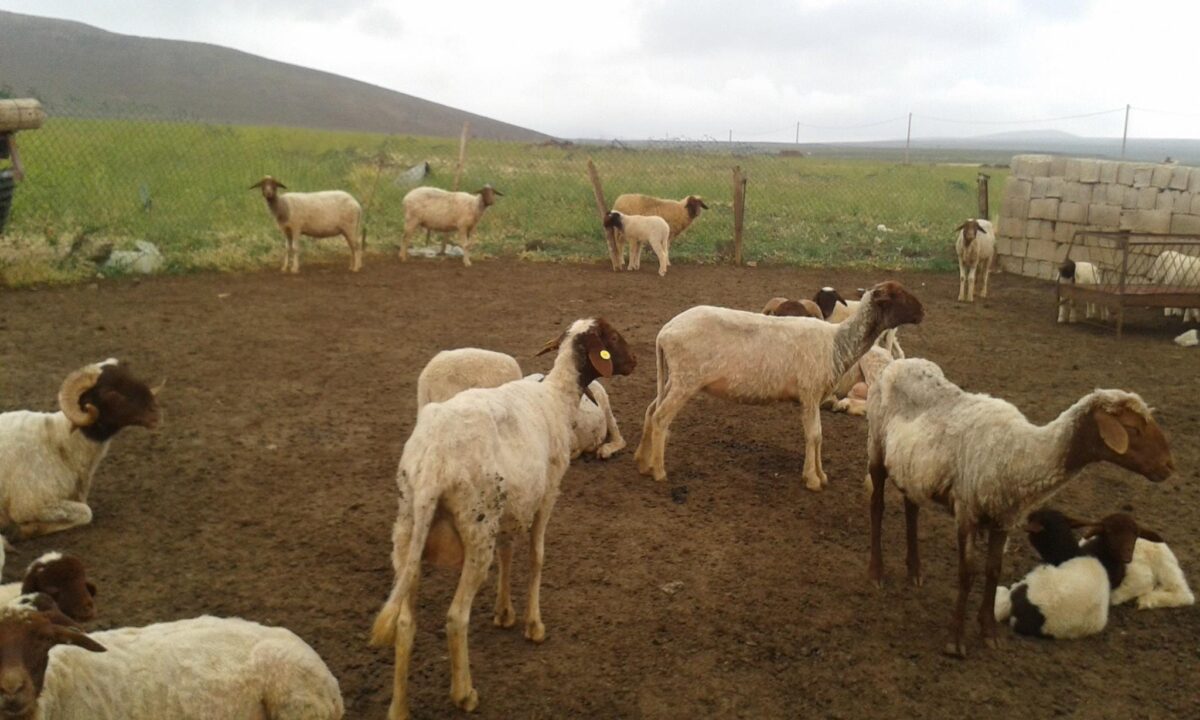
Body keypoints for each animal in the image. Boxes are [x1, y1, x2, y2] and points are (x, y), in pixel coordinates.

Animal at [0, 359, 161, 540]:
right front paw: (25, 529)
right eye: (110, 392)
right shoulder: (28, 505)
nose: (156, 413)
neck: (59, 443)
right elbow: (86, 512)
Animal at [369, 319, 635, 719]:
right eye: (615, 338)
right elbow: (536, 557)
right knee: (455, 617)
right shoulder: (546, 495)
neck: (556, 398)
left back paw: (399, 708)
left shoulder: (512, 507)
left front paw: (504, 612)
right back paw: (464, 693)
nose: (634, 362)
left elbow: (508, 555)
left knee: (403, 621)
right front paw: (533, 625)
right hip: (475, 531)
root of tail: (433, 464)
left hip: (406, 532)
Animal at [634, 281, 924, 490]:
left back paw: (643, 463)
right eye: (897, 295)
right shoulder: (809, 393)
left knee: (650, 411)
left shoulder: (814, 397)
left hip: (674, 377)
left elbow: (818, 437)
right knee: (660, 417)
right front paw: (813, 480)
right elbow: (814, 435)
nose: (922, 312)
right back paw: (659, 471)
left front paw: (820, 475)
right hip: (686, 380)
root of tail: (665, 331)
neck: (837, 343)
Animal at [866, 358, 1175, 657]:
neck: (1022, 454)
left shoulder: (1004, 517)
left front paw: (989, 633)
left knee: (911, 507)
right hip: (877, 449)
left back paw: (915, 571)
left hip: (912, 467)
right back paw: (877, 573)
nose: (1169, 467)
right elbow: (967, 574)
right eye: (1133, 428)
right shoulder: (967, 511)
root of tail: (898, 362)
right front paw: (955, 642)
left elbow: (993, 570)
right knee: (877, 508)